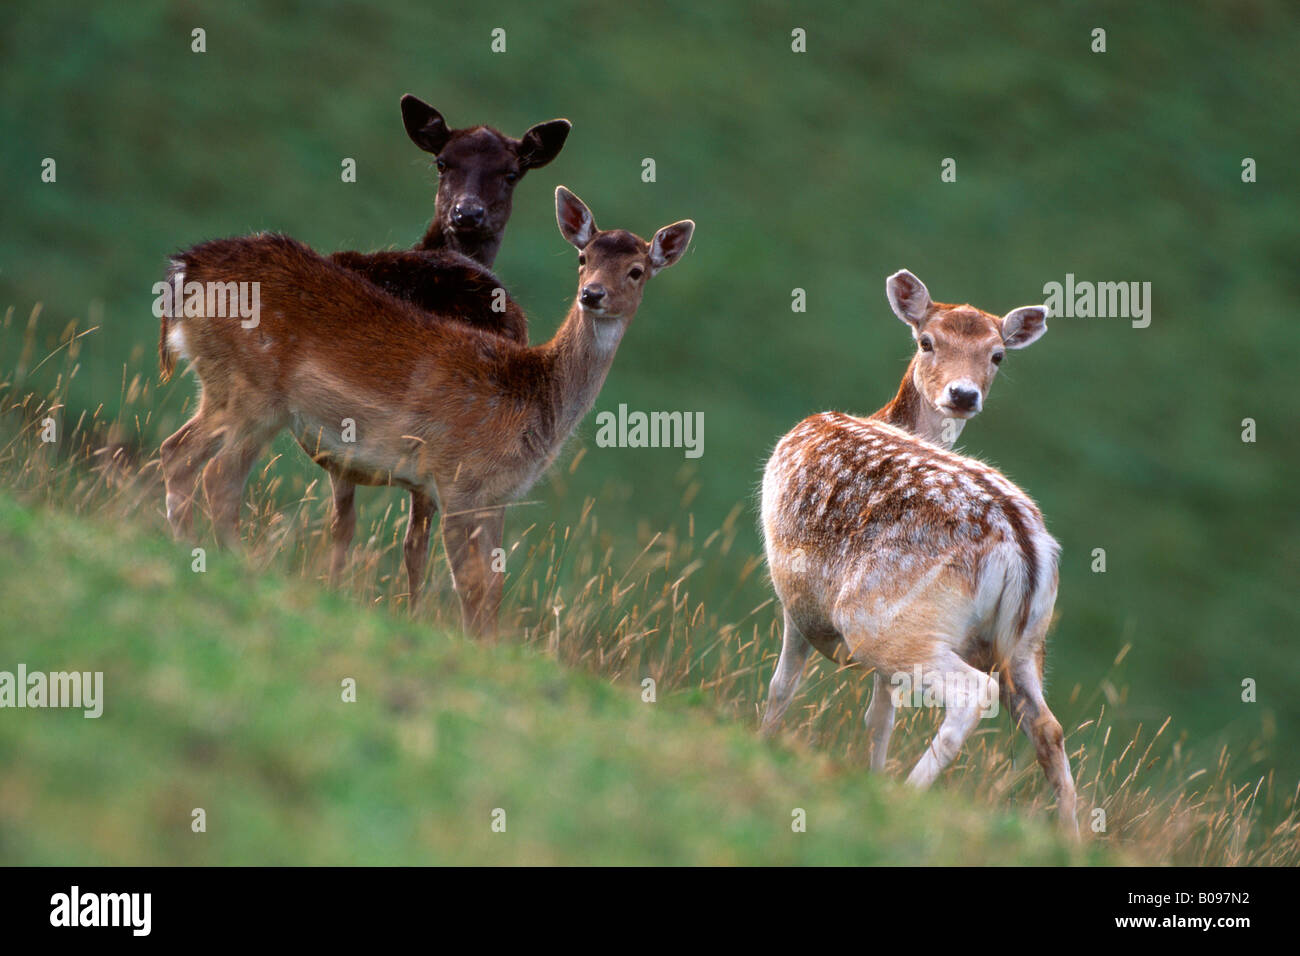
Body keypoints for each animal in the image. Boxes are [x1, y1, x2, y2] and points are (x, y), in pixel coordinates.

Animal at [158, 187, 694, 637]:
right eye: (583, 257)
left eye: (637, 270)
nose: (592, 294)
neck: (533, 403)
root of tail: (185, 268)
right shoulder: (457, 478)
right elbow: (470, 586)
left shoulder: (496, 496)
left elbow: (494, 588)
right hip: (254, 391)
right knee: (217, 475)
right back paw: (235, 564)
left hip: (223, 386)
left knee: (177, 452)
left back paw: (189, 549)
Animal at [758, 270, 1078, 833]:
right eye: (927, 341)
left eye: (998, 355)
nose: (963, 394)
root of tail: (1021, 545)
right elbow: (879, 717)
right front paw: (871, 775)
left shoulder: (798, 601)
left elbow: (782, 688)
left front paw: (762, 743)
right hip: (1026, 643)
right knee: (1049, 727)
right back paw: (1076, 837)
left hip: (883, 619)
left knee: (973, 695)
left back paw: (907, 797)